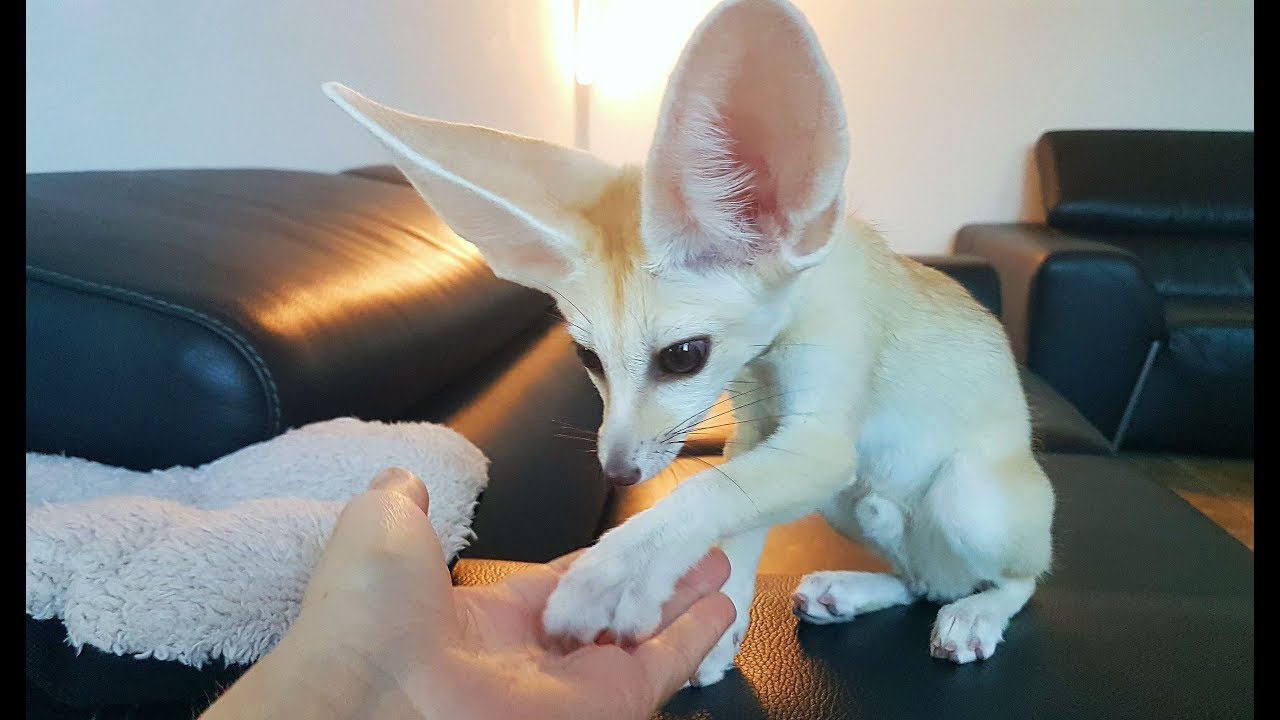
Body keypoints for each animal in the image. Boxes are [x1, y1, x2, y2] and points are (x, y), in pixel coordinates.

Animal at [324, 0, 1054, 688]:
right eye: (586, 359)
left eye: (682, 357)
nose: (617, 474)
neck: (779, 342)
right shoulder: (759, 437)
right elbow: (739, 519)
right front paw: (722, 629)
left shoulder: (820, 440)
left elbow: (707, 493)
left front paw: (618, 573)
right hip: (853, 504)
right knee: (925, 580)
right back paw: (857, 589)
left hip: (965, 500)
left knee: (1011, 578)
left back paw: (978, 612)